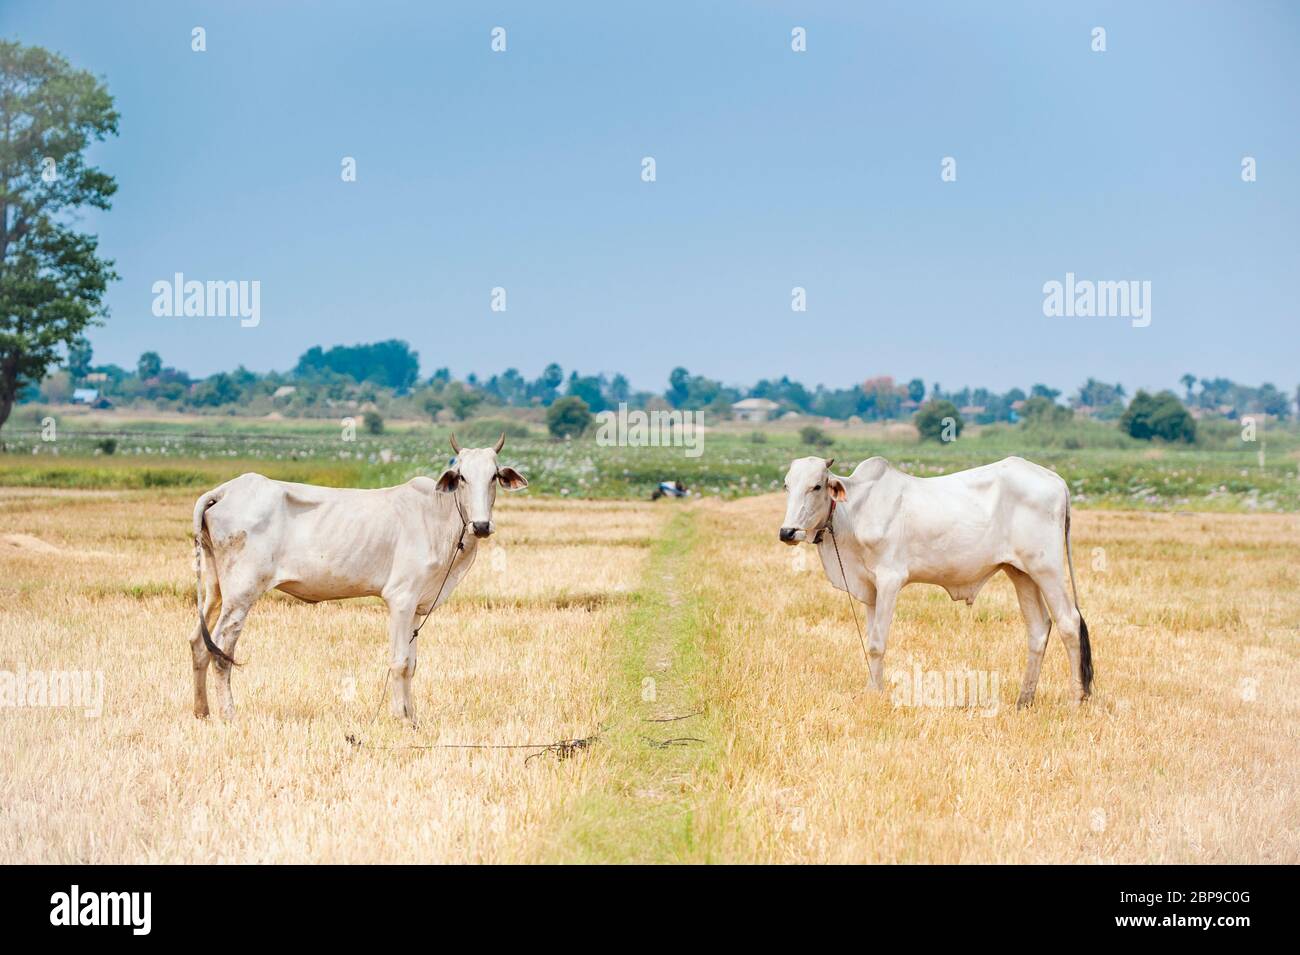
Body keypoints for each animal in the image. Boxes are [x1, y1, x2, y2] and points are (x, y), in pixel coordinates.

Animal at [188, 434, 528, 722]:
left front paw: (412, 716)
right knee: (221, 650)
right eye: (462, 477)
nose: (481, 525)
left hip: (216, 591)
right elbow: (399, 662)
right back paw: (229, 716)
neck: (439, 515)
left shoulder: (418, 607)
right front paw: (401, 718)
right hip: (241, 595)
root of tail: (225, 491)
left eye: (494, 476)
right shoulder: (400, 599)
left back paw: (202, 713)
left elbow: (412, 664)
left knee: (198, 643)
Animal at [779, 455, 1092, 705]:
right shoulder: (870, 589)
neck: (856, 511)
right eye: (787, 486)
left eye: (816, 486)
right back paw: (1023, 700)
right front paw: (871, 690)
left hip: (1047, 569)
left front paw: (876, 696)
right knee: (1038, 628)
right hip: (1020, 572)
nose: (787, 532)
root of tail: (1057, 480)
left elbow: (878, 643)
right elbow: (870, 641)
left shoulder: (890, 580)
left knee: (1069, 622)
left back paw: (1076, 699)